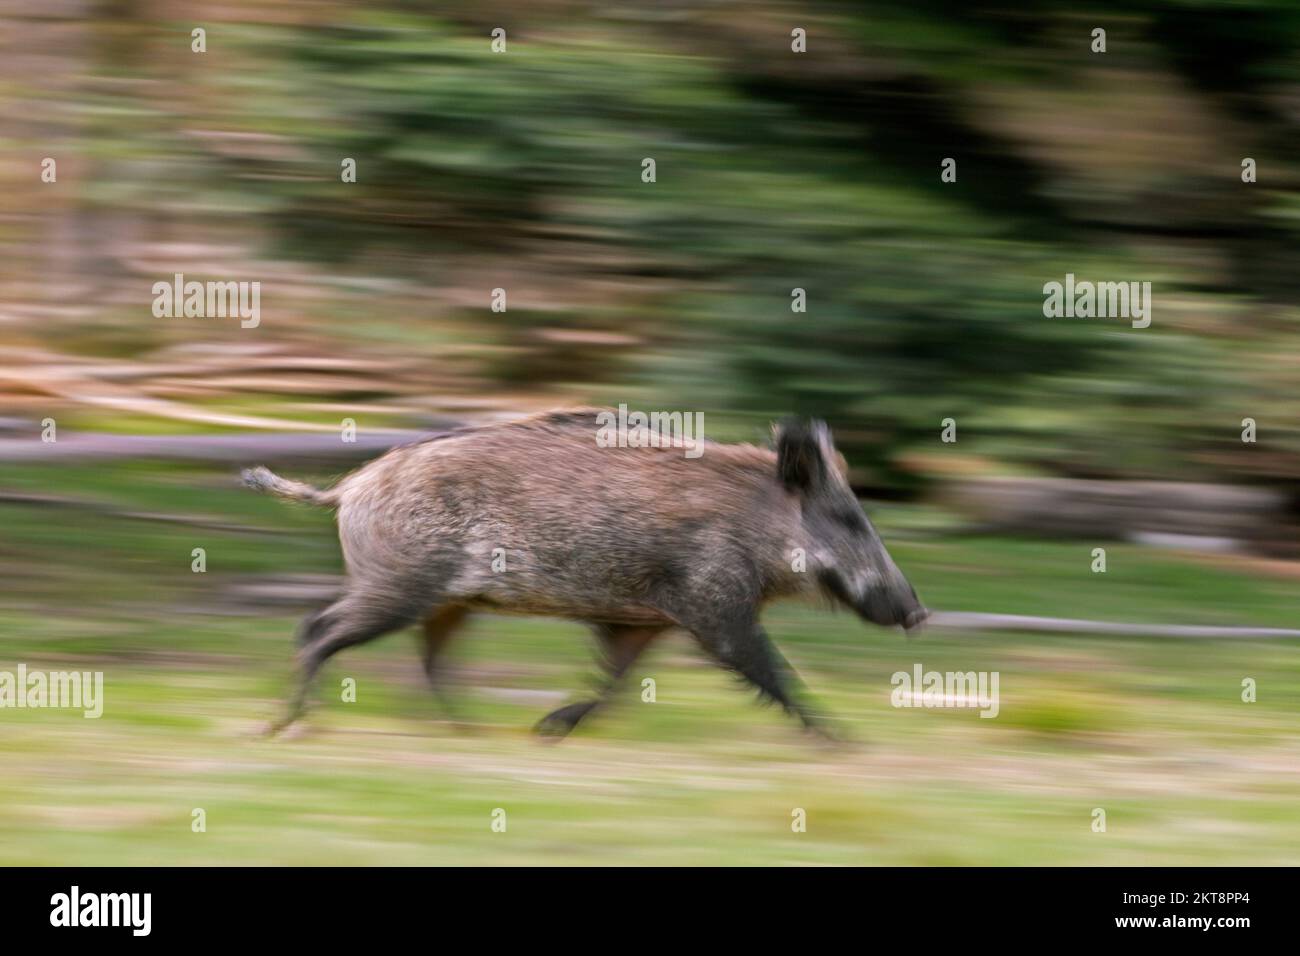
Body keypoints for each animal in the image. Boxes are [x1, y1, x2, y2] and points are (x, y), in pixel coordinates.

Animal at [242, 408, 927, 739]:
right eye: (848, 517)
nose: (918, 613)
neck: (753, 527)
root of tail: (348, 489)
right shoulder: (714, 607)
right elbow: (773, 671)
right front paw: (844, 741)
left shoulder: (642, 620)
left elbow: (613, 680)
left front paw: (548, 729)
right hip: (398, 587)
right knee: (317, 630)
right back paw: (286, 726)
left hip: (442, 602)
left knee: (429, 660)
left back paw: (468, 730)